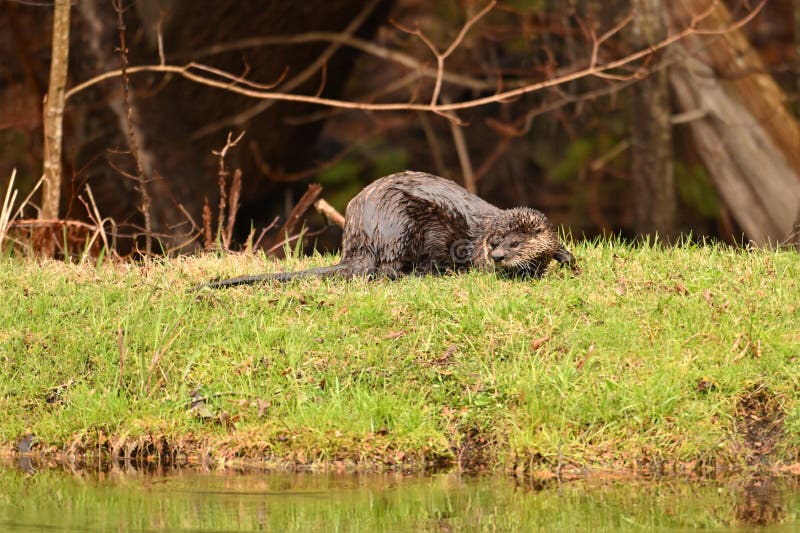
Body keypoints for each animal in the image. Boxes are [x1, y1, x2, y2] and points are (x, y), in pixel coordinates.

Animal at [202, 171, 575, 288]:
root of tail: (359, 240)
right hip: (401, 226)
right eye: (495, 242)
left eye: (514, 243)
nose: (498, 256)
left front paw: (566, 259)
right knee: (385, 271)